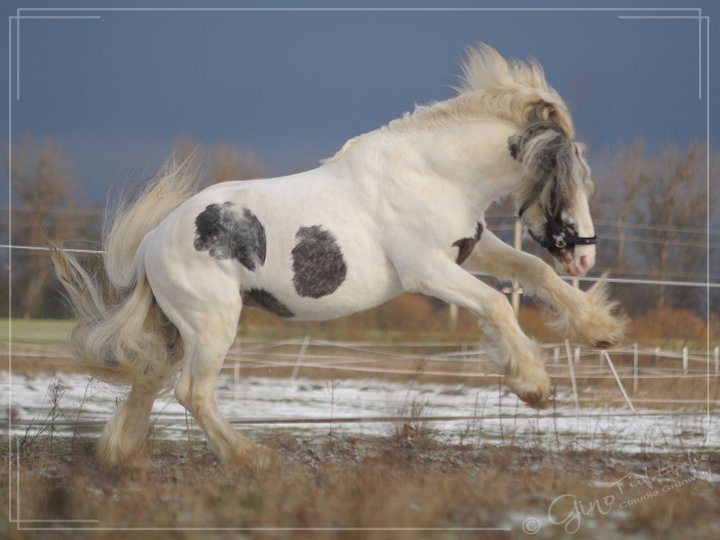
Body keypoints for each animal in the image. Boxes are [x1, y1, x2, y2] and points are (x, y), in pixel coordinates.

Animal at [51, 44, 625, 469]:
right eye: (563, 179)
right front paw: (533, 386)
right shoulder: (428, 271)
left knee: (149, 379)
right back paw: (252, 458)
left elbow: (534, 271)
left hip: (178, 327)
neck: (434, 172)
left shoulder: (473, 248)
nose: (584, 260)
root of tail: (154, 240)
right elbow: (499, 305)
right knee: (192, 392)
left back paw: (121, 458)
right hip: (211, 323)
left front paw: (600, 330)